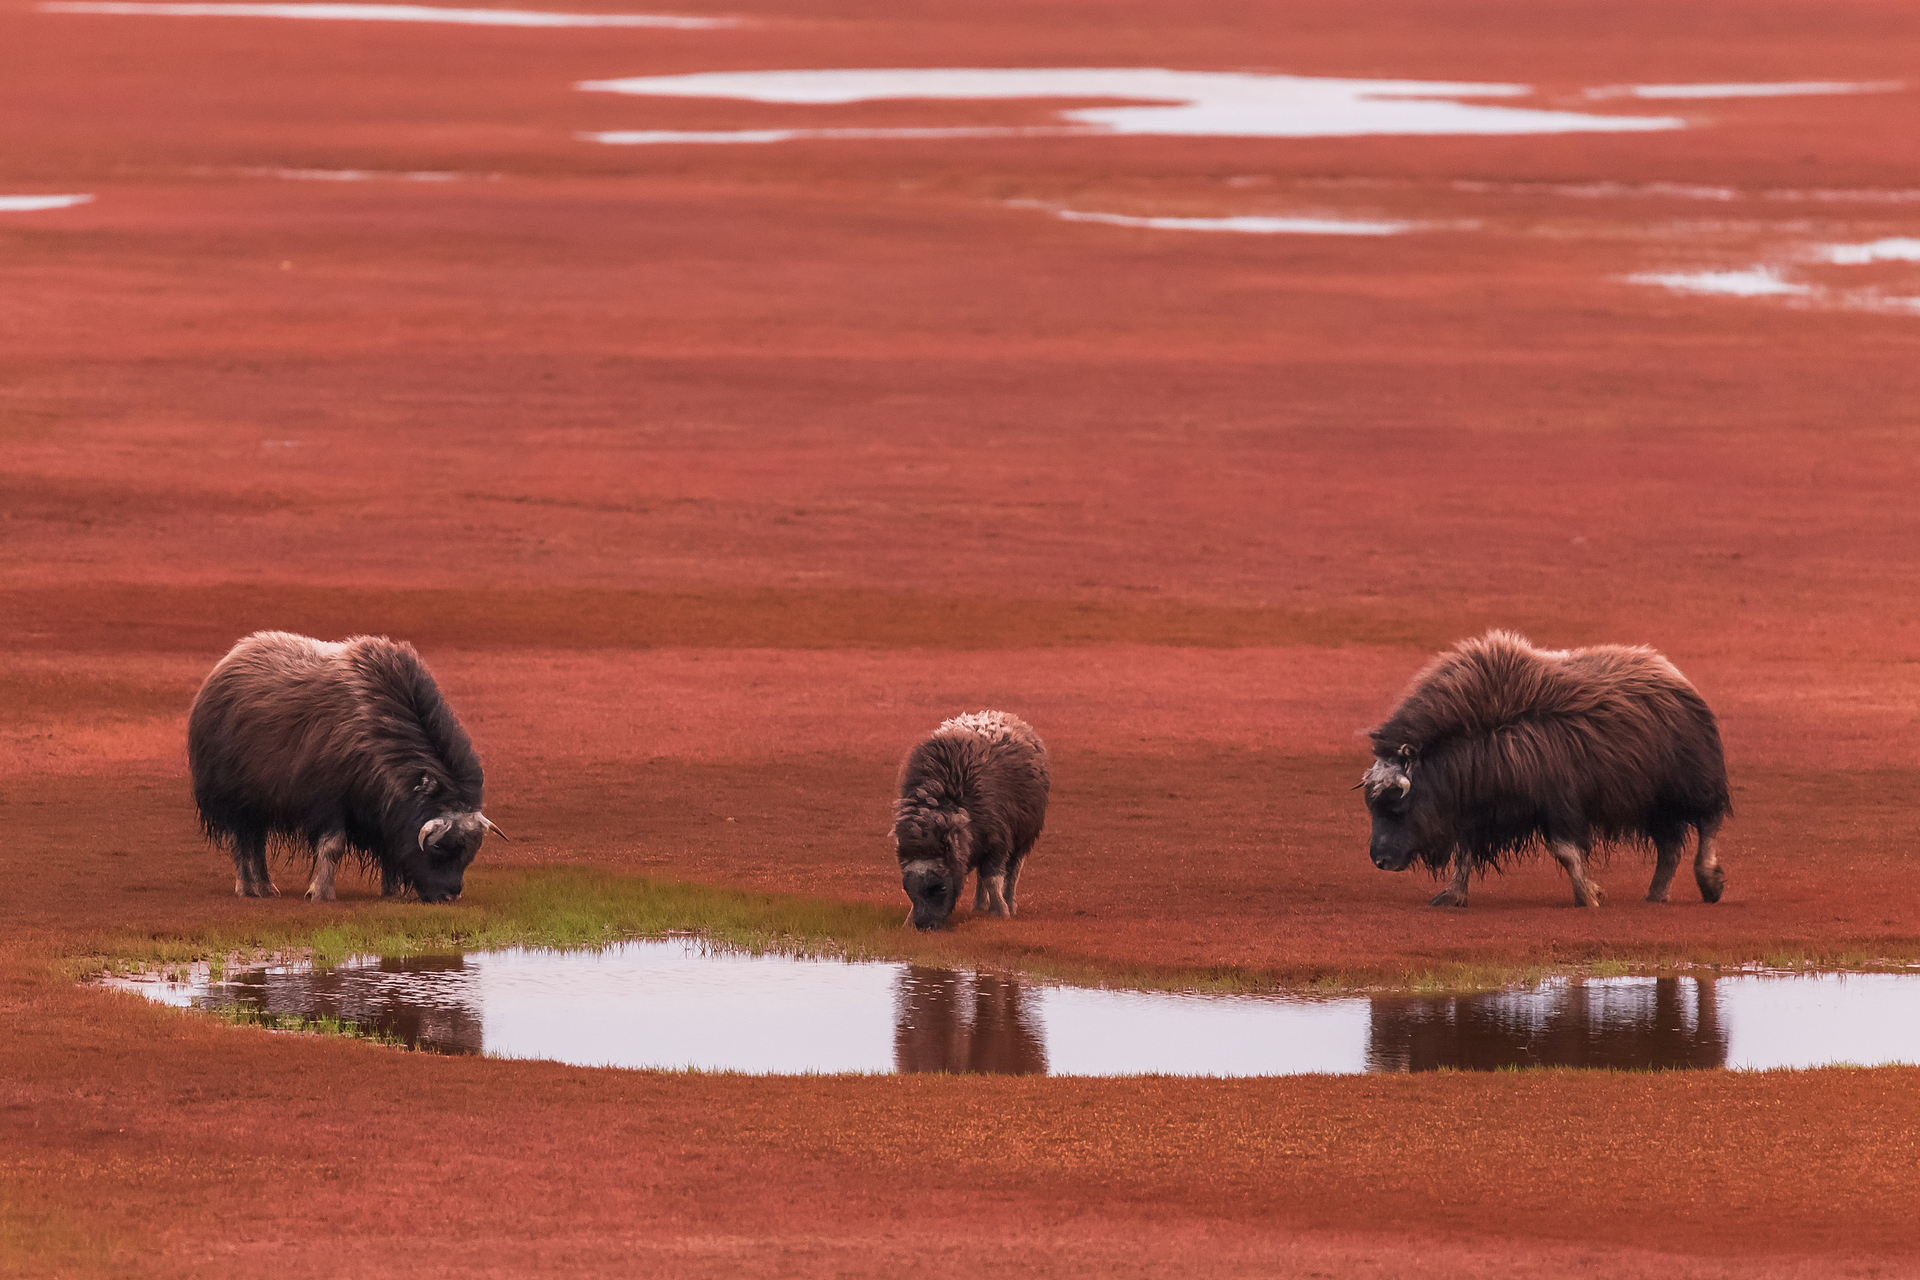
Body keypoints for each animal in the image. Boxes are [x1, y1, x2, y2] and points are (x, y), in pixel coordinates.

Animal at [185, 637, 503, 905]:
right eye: (439, 848)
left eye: (470, 852)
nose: (449, 896)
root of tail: (225, 663)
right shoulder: (329, 804)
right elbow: (332, 847)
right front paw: (321, 894)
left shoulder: (382, 812)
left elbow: (389, 849)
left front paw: (391, 893)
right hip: (234, 802)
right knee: (241, 843)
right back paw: (247, 889)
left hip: (260, 807)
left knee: (257, 844)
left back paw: (267, 887)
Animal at [894, 710, 1052, 932]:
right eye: (907, 888)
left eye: (942, 887)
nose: (924, 926)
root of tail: (1003, 715)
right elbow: (984, 877)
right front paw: (908, 919)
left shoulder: (997, 842)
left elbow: (992, 878)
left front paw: (1000, 912)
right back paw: (979, 905)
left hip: (1022, 838)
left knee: (1012, 872)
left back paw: (1009, 903)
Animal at [1359, 633, 1735, 909]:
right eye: (1373, 806)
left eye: (1397, 807)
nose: (1379, 860)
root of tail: (1673, 675)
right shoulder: (1475, 810)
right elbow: (1463, 853)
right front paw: (1451, 897)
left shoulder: (1559, 804)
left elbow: (1565, 852)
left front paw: (1589, 897)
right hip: (1652, 806)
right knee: (1669, 847)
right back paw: (1655, 895)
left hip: (1690, 786)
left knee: (1707, 824)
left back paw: (1710, 884)